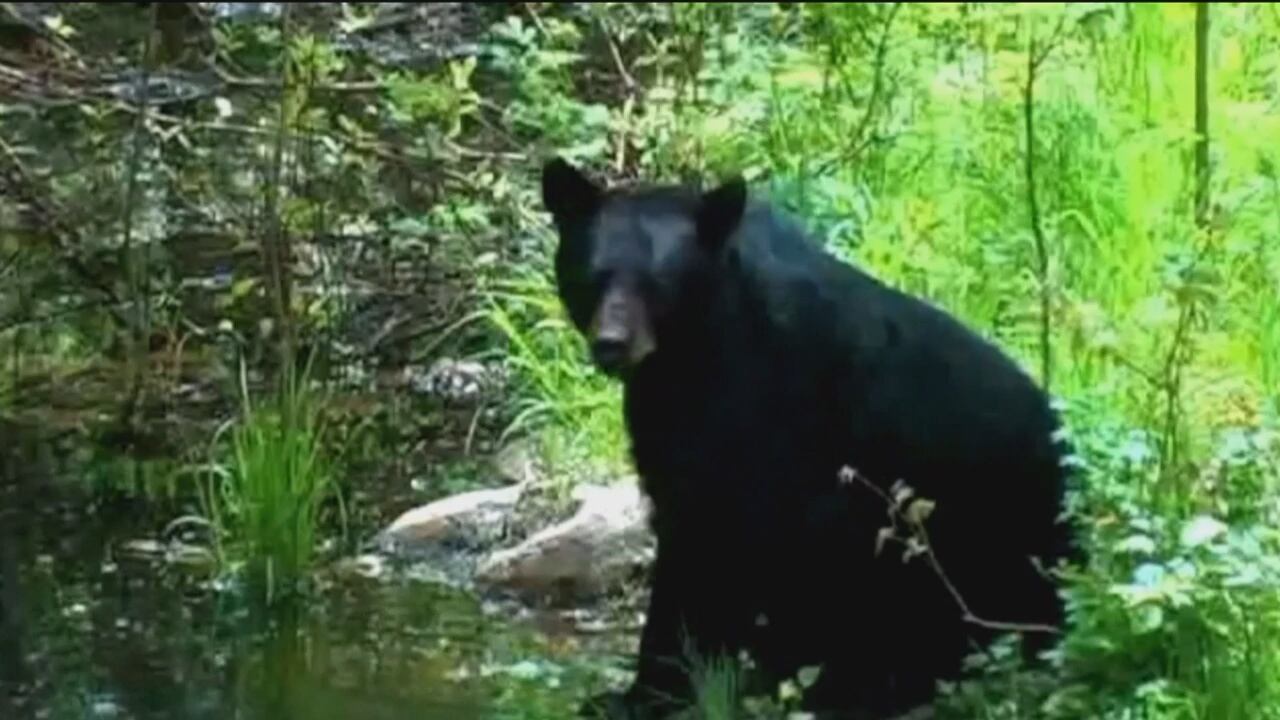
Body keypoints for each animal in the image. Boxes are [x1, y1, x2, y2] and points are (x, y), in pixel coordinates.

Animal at [539, 156, 1081, 720]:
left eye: (659, 284)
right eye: (592, 275)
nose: (611, 345)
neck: (690, 355)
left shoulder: (774, 415)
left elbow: (721, 544)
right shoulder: (668, 422)